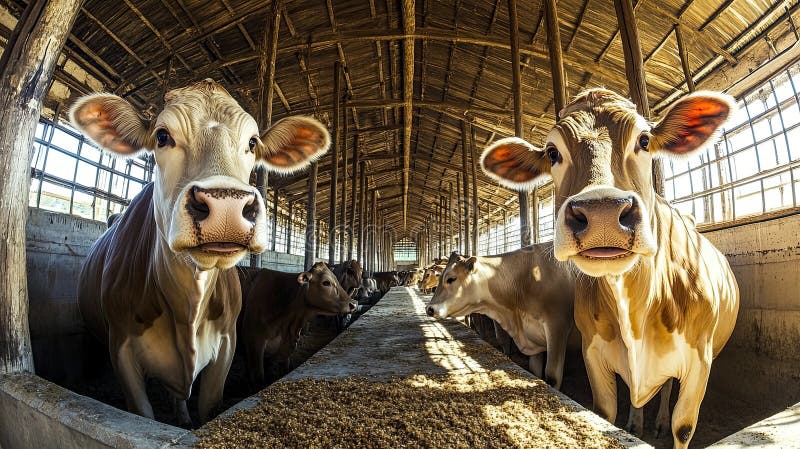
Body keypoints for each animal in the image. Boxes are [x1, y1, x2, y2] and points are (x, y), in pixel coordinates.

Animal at [73, 80, 329, 425]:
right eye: (162, 136)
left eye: (252, 142)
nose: (226, 206)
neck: (187, 309)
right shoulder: (121, 349)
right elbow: (142, 410)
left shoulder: (227, 345)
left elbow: (209, 404)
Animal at [480, 88, 739, 448]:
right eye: (552, 153)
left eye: (644, 140)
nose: (602, 213)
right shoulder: (594, 354)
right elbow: (606, 414)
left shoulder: (699, 361)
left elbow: (683, 428)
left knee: (665, 389)